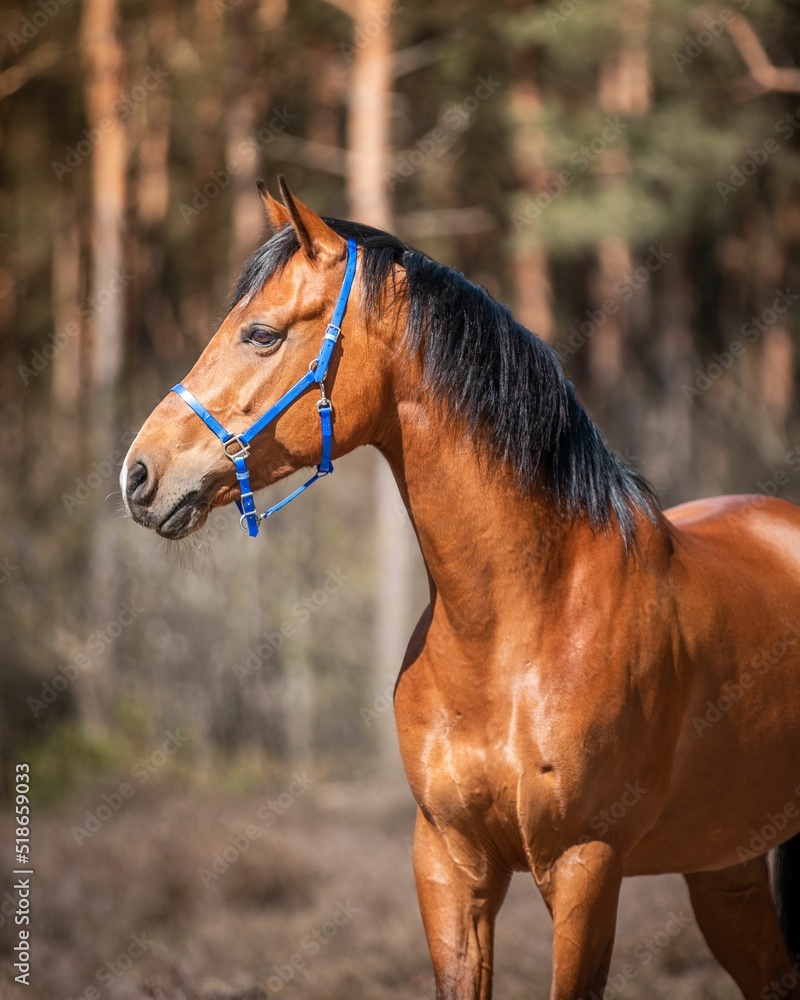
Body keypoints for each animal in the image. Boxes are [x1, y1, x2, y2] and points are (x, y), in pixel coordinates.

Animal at [121, 177, 800, 1000]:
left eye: (260, 334)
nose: (138, 474)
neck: (517, 628)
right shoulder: (449, 862)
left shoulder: (586, 866)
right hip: (726, 865)